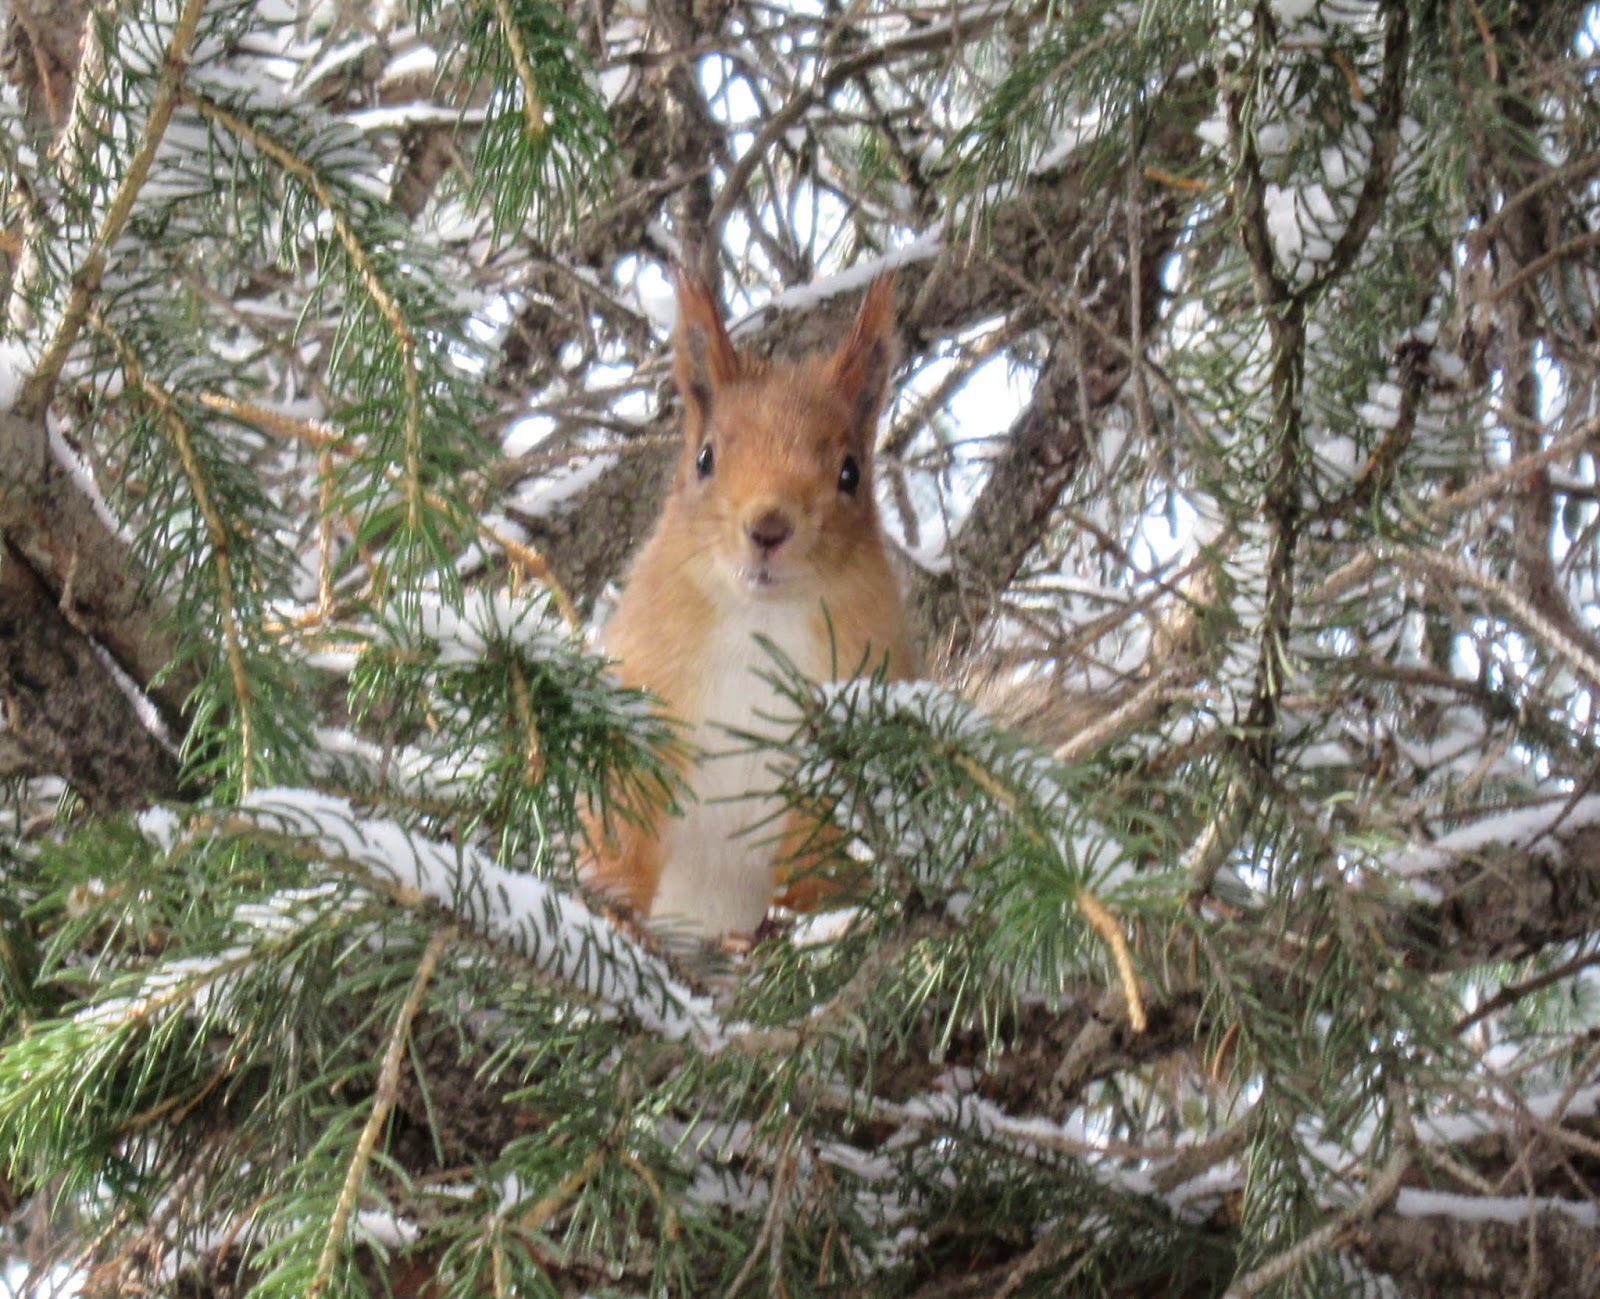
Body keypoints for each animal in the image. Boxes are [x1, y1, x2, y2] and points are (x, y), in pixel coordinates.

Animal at [584, 269, 918, 939]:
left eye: (851, 473)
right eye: (705, 458)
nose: (768, 527)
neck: (759, 618)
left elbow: (815, 849)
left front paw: (807, 920)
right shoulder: (644, 703)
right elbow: (626, 820)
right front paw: (615, 897)